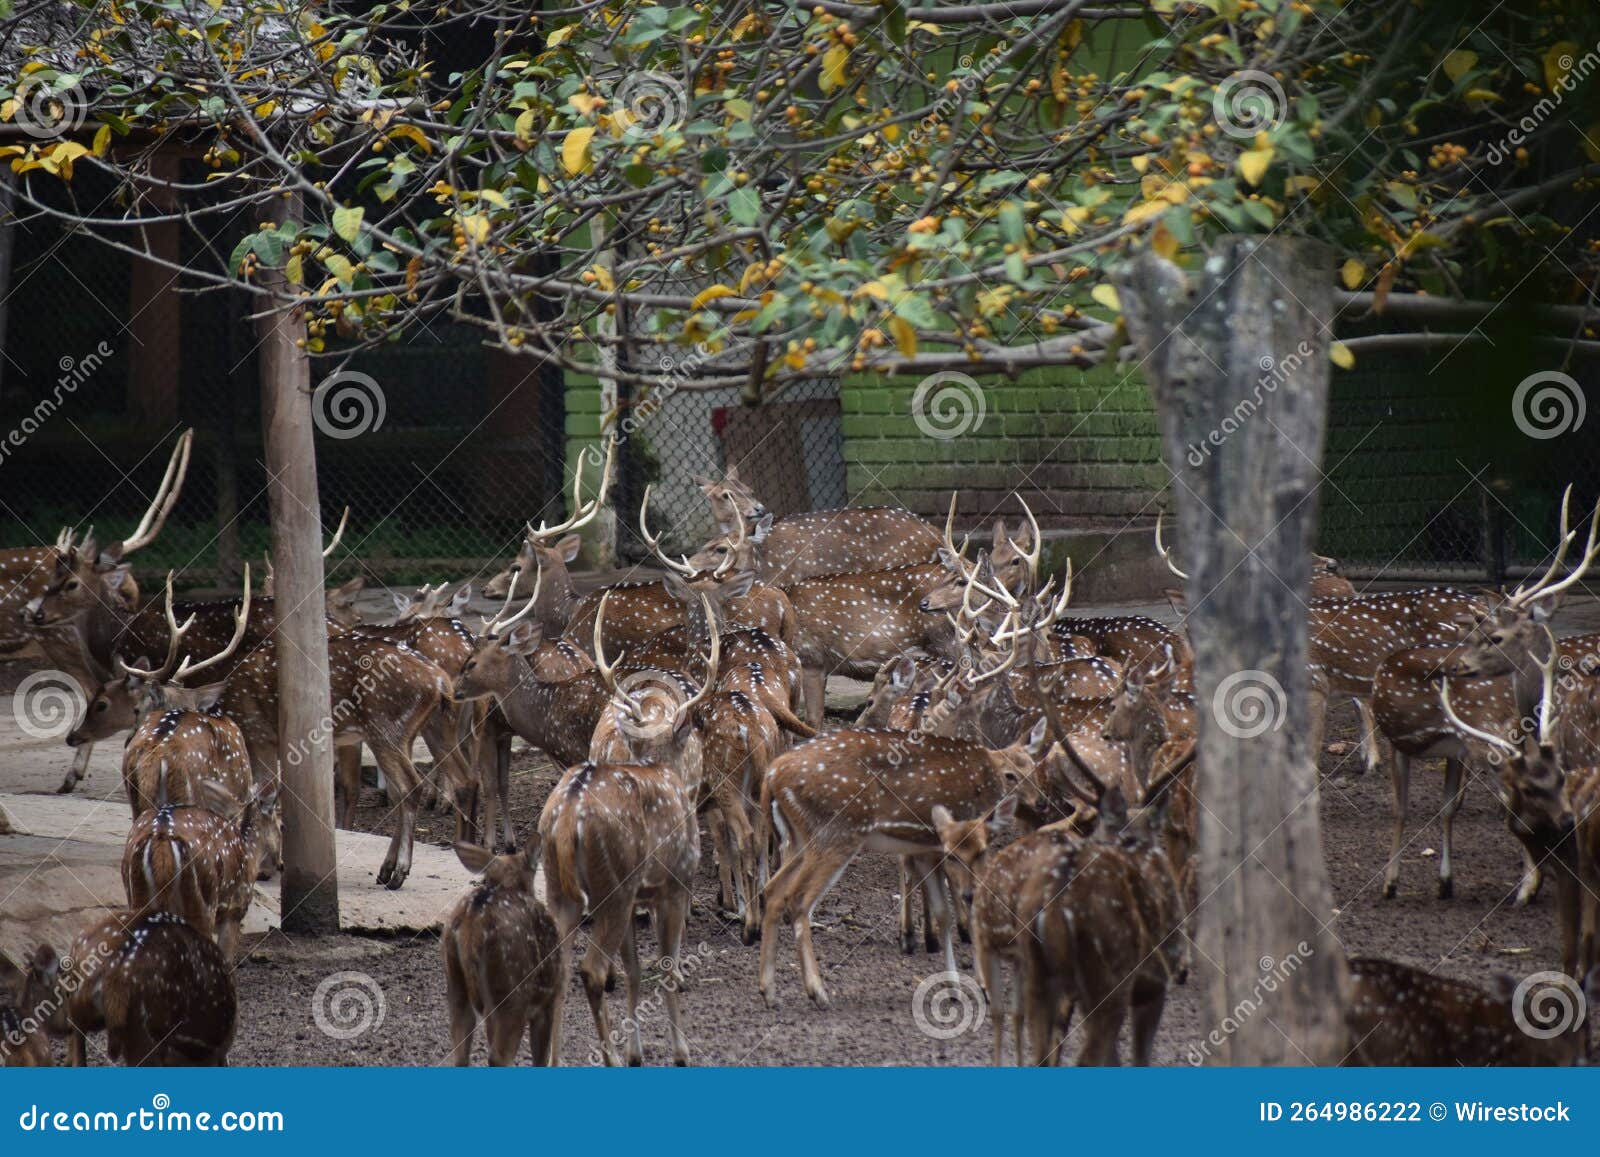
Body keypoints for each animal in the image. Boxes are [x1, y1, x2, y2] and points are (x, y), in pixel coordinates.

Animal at [122, 772, 281, 963]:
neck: (250, 854)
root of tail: (162, 834)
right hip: (203, 902)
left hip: (136, 896)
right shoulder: (235, 909)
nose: (280, 864)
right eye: (281, 826)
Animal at [443, 838, 564, 1066]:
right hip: (511, 989)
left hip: (455, 978)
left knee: (460, 1052)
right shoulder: (549, 999)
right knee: (498, 1056)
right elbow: (541, 1057)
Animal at [756, 718, 1049, 1009]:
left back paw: (769, 992)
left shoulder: (928, 850)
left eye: (1034, 768)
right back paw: (817, 992)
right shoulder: (954, 844)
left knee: (773, 891)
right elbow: (970, 903)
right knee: (798, 899)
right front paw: (983, 987)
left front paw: (954, 986)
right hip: (835, 832)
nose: (1042, 802)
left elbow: (943, 913)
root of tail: (771, 775)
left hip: (798, 838)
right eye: (1010, 775)